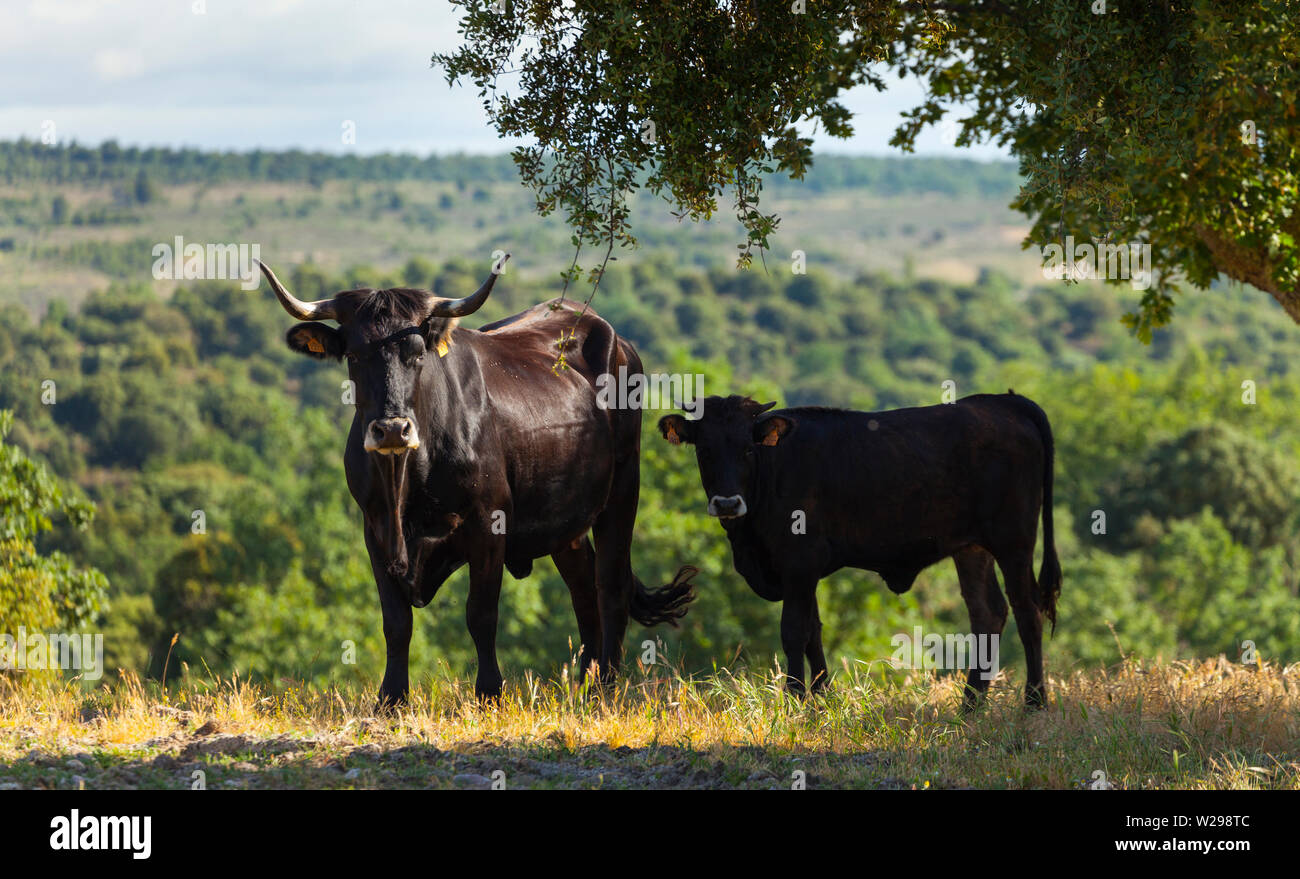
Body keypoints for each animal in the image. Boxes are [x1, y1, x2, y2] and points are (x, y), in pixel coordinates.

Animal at [258, 257, 696, 707]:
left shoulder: (489, 523)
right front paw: (392, 699)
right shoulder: (375, 529)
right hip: (566, 520)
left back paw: (607, 687)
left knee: (611, 586)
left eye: (417, 353)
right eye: (354, 354)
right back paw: (586, 686)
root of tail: (609, 332)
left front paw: (489, 693)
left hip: (624, 487)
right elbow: (396, 622)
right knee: (583, 589)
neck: (406, 482)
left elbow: (480, 614)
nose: (392, 429)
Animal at [658, 392, 1061, 709]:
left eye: (747, 449)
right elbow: (814, 631)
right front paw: (821, 698)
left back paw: (1034, 703)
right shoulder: (803, 571)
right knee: (987, 613)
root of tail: (1001, 401)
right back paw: (971, 706)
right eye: (705, 451)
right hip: (972, 548)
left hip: (1014, 541)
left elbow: (794, 631)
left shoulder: (799, 562)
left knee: (1027, 612)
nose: (727, 502)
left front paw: (795, 700)